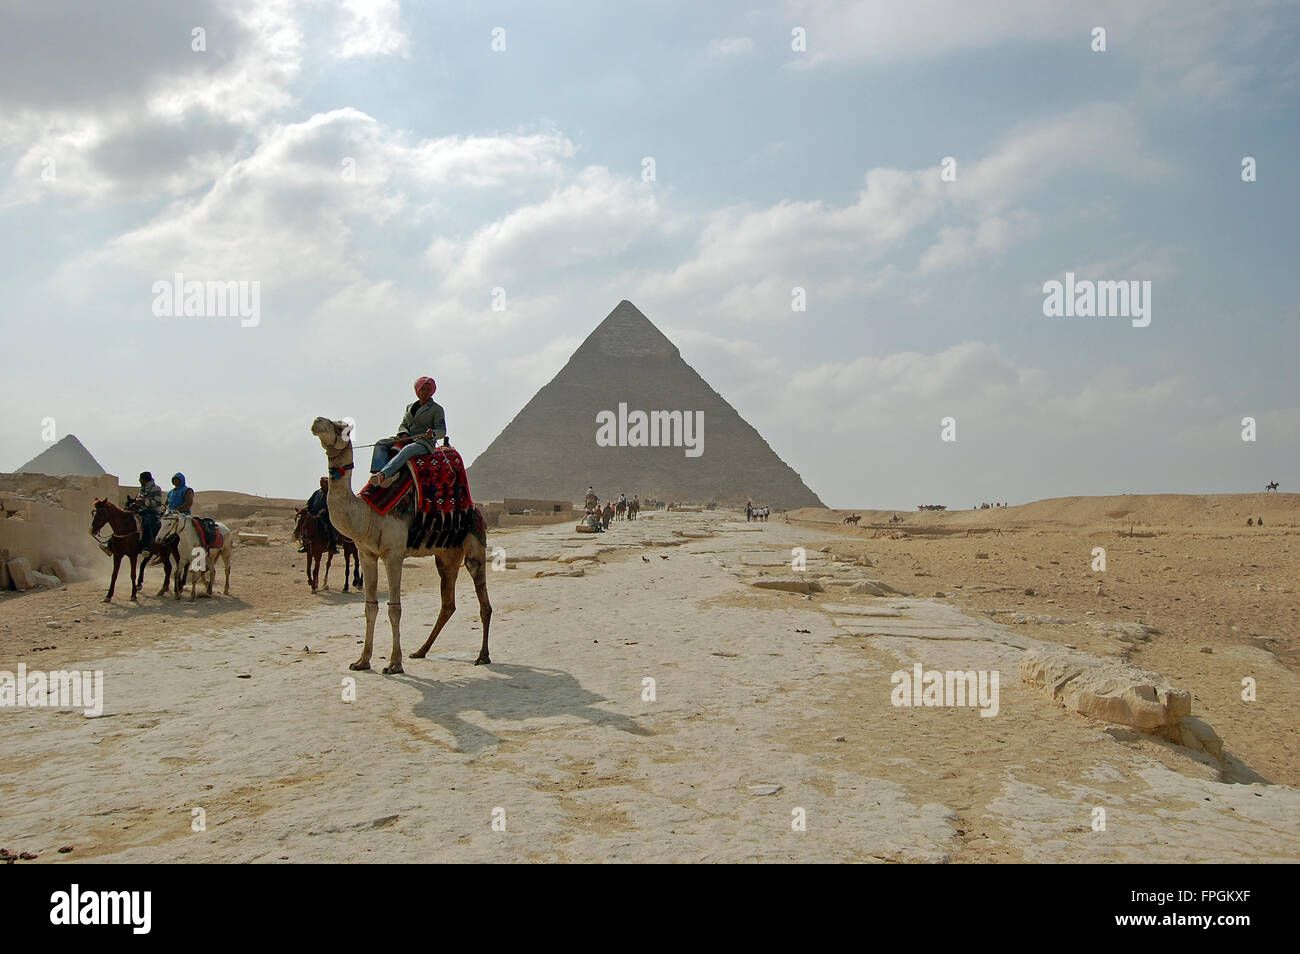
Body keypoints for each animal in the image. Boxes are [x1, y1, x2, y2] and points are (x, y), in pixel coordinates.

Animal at [311, 417, 492, 674]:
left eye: (340, 426)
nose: (317, 422)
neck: (367, 515)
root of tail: (477, 510)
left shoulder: (393, 555)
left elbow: (394, 608)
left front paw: (394, 663)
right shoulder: (366, 554)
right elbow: (370, 607)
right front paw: (362, 661)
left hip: (474, 543)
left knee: (483, 600)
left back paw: (483, 655)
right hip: (446, 556)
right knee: (448, 603)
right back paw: (420, 650)